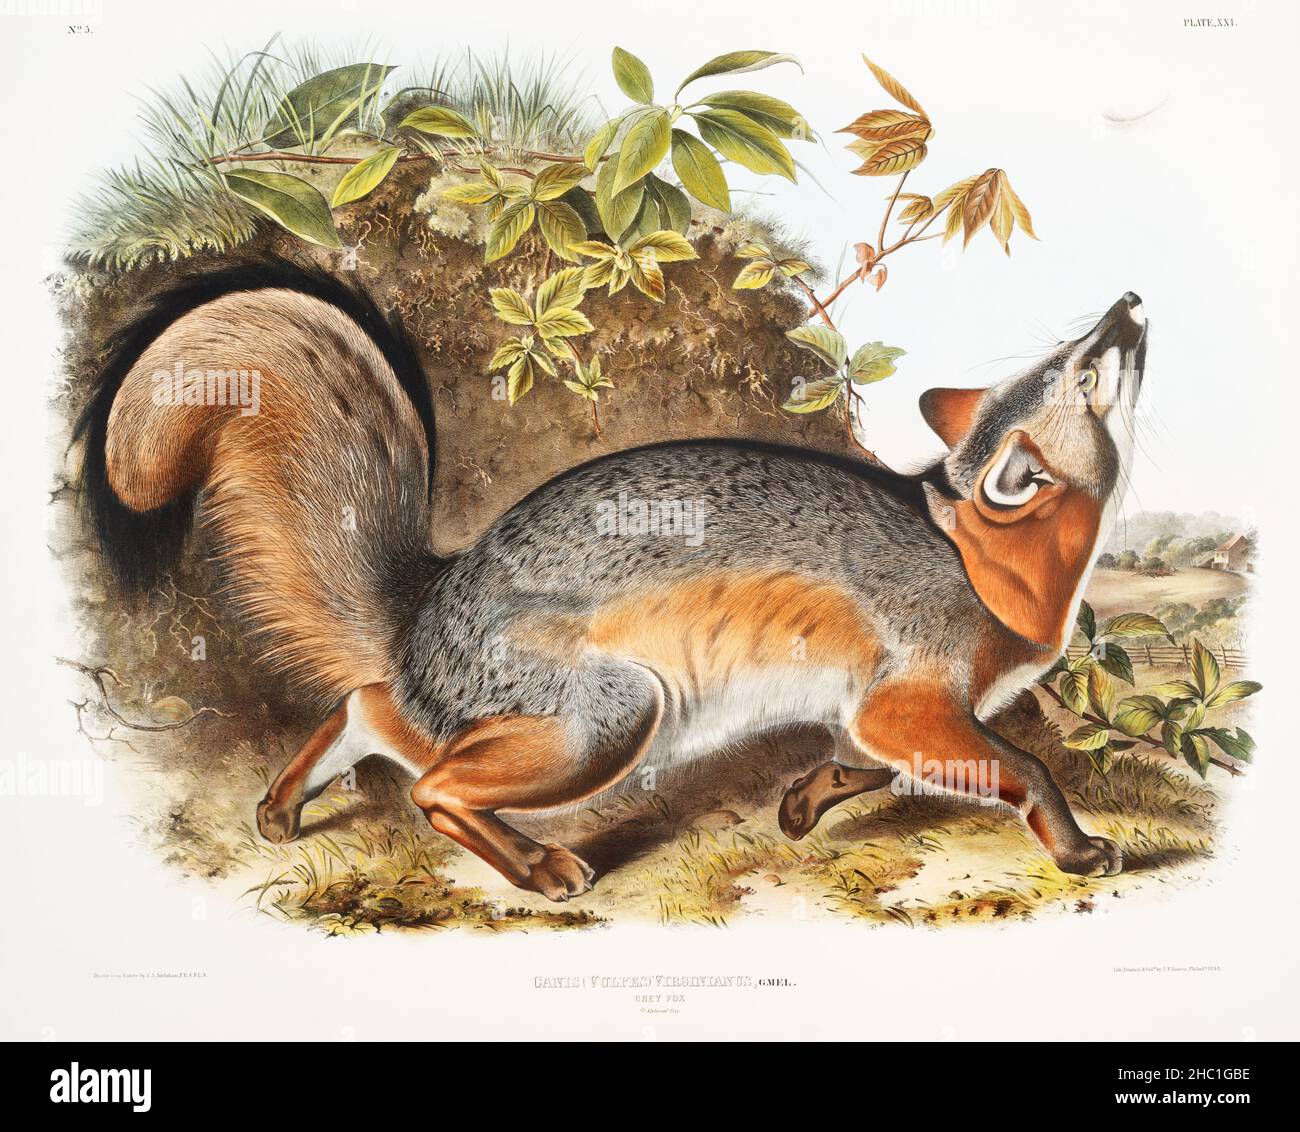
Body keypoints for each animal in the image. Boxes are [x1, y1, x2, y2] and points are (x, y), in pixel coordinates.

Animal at [78, 264, 1147, 901]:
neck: (981, 556)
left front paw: (804, 803)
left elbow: (868, 761)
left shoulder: (881, 710)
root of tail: (434, 597)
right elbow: (1027, 766)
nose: (1127, 305)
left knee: (370, 707)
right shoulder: (910, 699)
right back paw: (539, 866)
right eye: (1081, 371)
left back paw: (284, 804)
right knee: (430, 783)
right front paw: (1076, 848)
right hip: (613, 718)